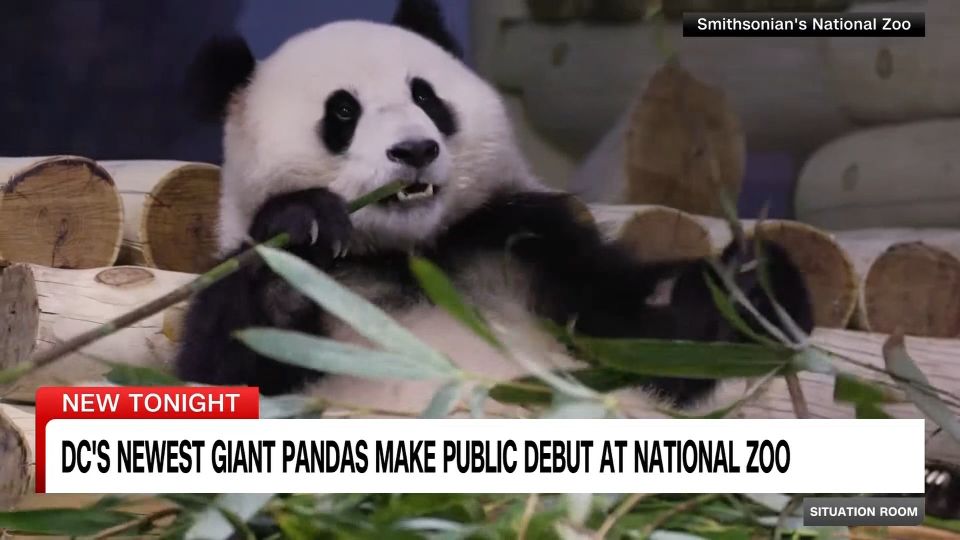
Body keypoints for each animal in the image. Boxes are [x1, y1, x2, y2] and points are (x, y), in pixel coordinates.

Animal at [175, 0, 813, 416]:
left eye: (426, 95)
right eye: (343, 112)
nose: (415, 149)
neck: (411, 253)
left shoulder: (523, 239)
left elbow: (643, 339)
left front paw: (753, 281)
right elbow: (228, 370)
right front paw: (300, 230)